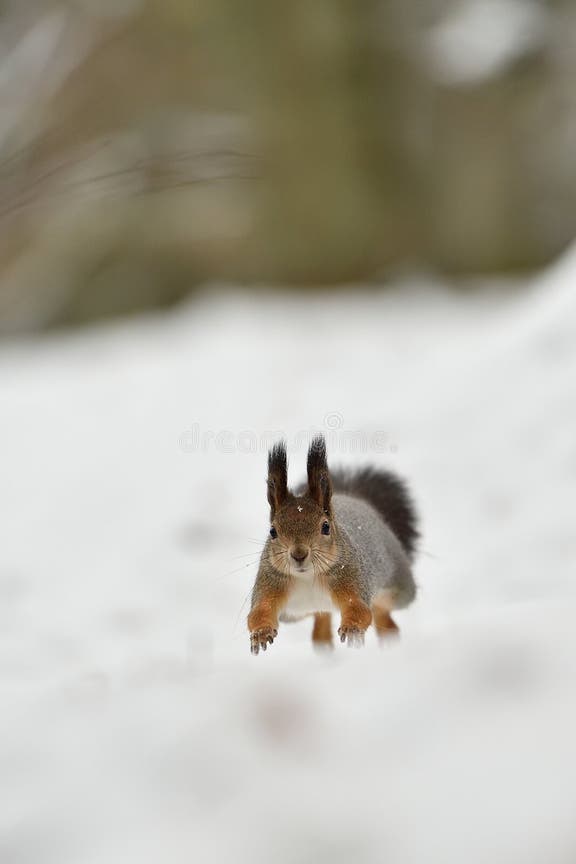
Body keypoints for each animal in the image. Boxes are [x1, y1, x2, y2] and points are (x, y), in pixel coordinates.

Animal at [248, 435, 418, 654]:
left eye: (326, 527)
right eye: (272, 531)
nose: (299, 555)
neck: (307, 577)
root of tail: (356, 500)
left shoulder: (350, 577)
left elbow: (360, 610)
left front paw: (352, 629)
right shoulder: (270, 581)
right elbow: (259, 611)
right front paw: (260, 633)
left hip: (398, 588)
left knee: (382, 612)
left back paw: (390, 643)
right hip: (294, 616)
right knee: (321, 622)